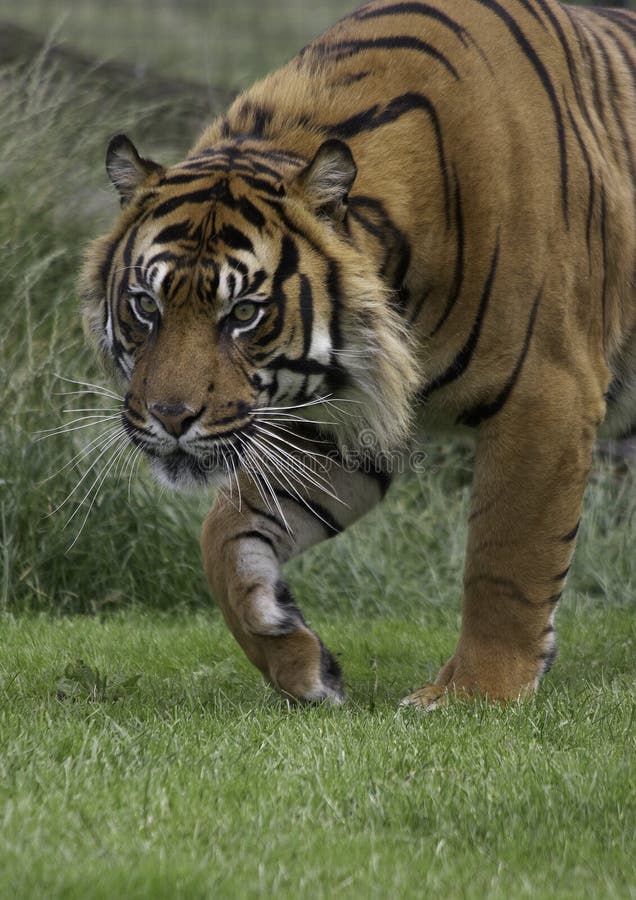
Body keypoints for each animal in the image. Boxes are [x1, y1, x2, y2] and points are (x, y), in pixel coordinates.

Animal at [80, 0, 636, 709]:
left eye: (243, 314)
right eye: (146, 305)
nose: (170, 418)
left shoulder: (548, 394)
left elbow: (507, 558)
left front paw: (474, 694)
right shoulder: (338, 421)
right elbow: (224, 533)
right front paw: (293, 652)